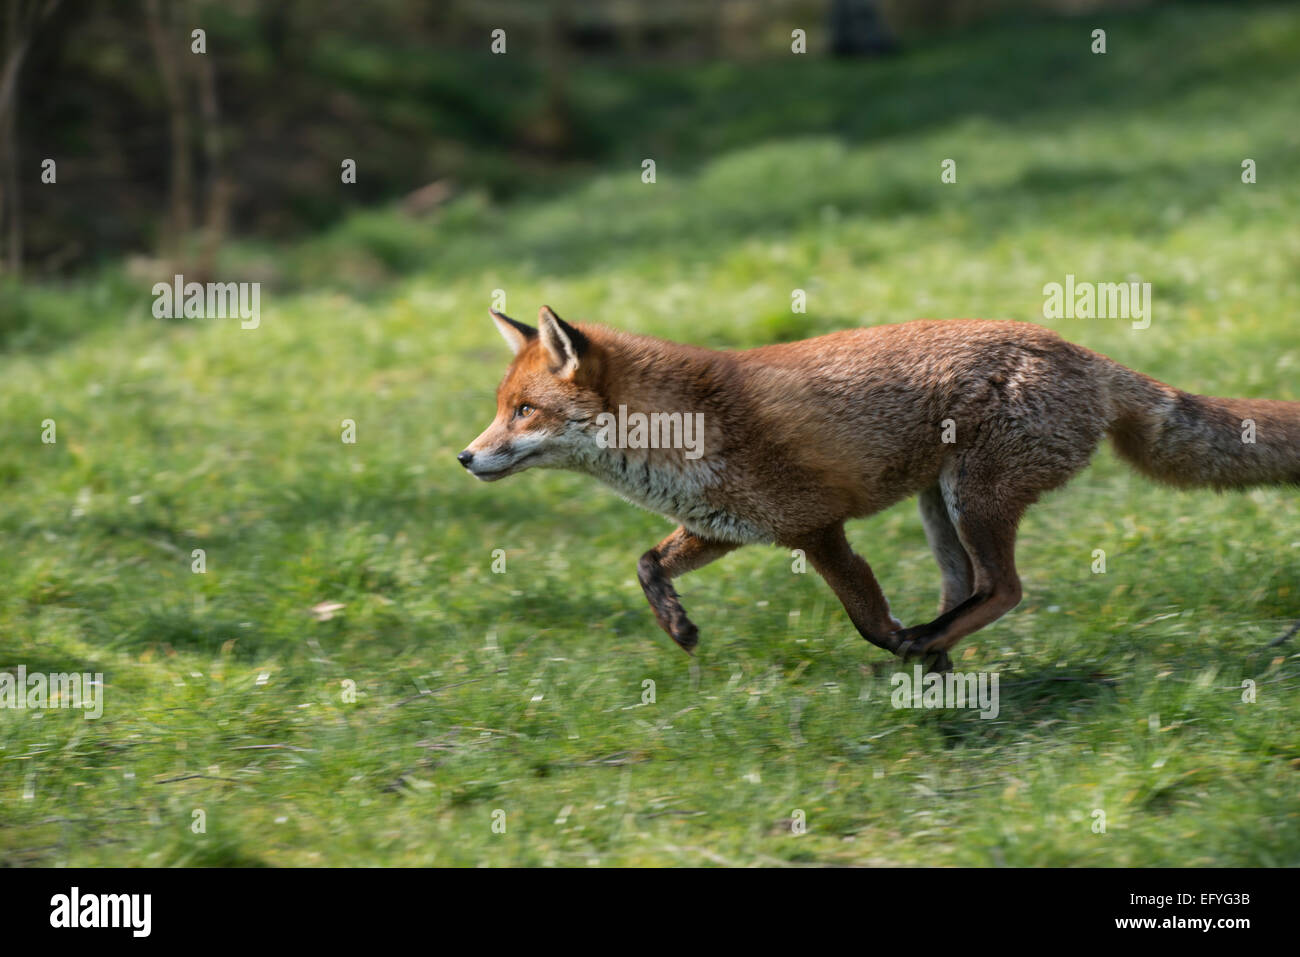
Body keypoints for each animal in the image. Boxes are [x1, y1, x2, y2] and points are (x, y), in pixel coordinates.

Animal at [460, 306, 1299, 670]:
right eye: (502, 408)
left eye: (523, 410)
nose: (465, 458)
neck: (677, 435)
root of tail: (1079, 350)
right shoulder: (724, 525)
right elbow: (644, 563)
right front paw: (678, 627)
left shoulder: (815, 527)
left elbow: (865, 613)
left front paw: (893, 641)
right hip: (940, 511)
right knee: (972, 589)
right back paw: (940, 656)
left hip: (976, 498)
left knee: (1006, 588)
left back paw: (925, 645)